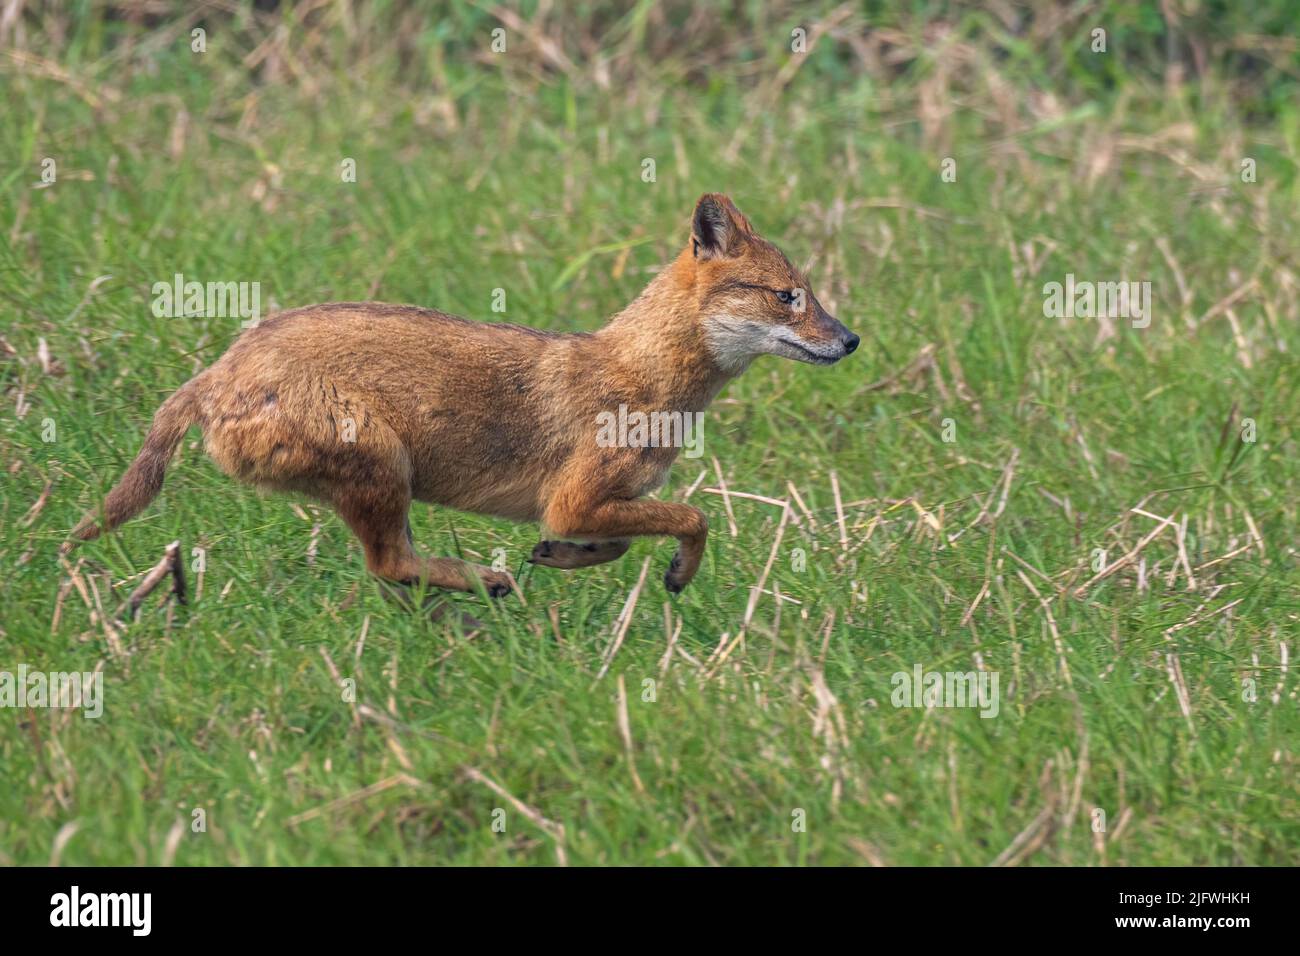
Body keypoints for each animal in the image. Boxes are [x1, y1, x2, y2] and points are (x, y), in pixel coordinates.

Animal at [64, 193, 859, 597]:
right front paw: (675, 574)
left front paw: (563, 560)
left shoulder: (582, 509)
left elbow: (617, 542)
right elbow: (695, 519)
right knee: (391, 563)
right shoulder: (576, 498)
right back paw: (487, 582)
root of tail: (217, 370)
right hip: (384, 469)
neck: (646, 380)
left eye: (812, 296)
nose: (851, 340)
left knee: (394, 565)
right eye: (789, 297)